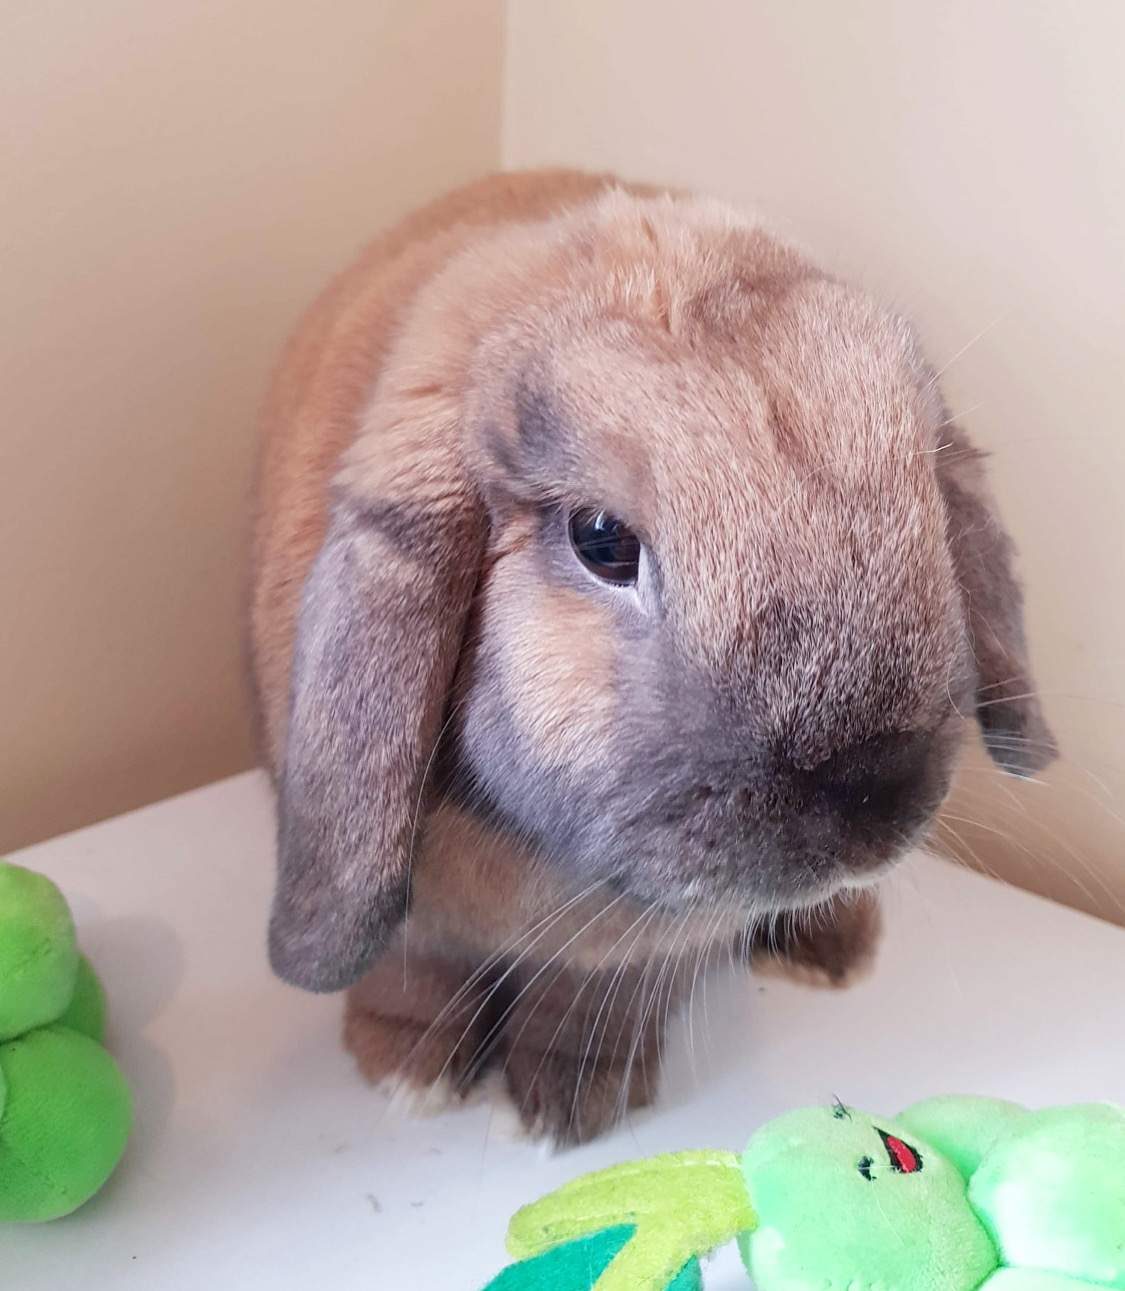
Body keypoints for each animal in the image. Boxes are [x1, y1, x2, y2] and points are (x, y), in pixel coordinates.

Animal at [249, 169, 1055, 1145]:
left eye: (926, 501)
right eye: (601, 540)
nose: (874, 799)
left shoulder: (644, 952)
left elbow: (589, 1005)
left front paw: (561, 1109)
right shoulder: (411, 921)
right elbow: (410, 976)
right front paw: (406, 1075)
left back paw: (835, 952)